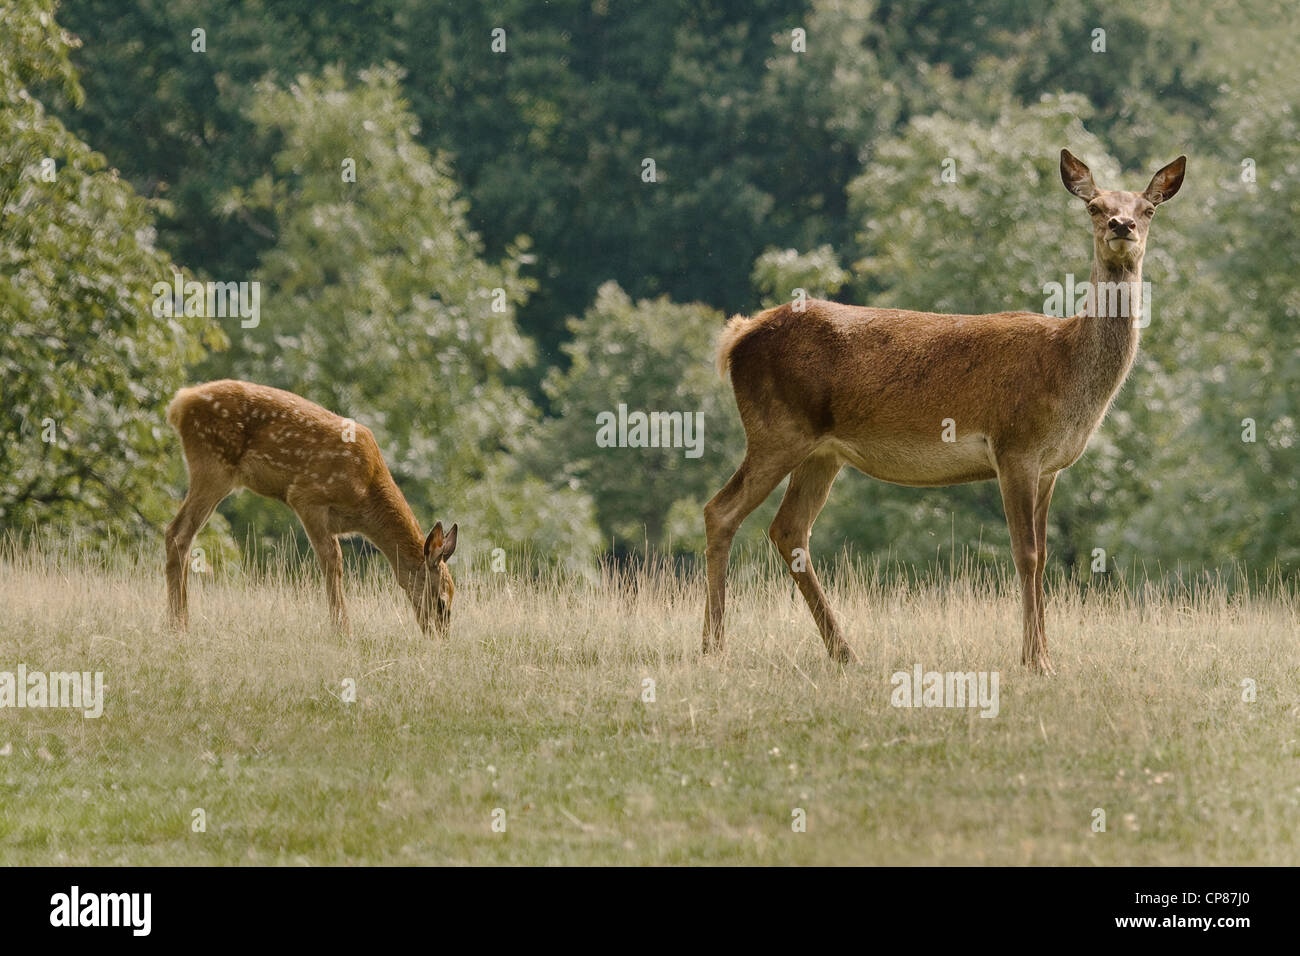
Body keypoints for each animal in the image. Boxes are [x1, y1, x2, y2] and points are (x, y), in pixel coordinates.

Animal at [164, 380, 458, 635]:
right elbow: (333, 562)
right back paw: (179, 625)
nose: (439, 637)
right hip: (212, 465)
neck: (366, 500)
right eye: (442, 601)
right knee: (177, 532)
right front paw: (343, 631)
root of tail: (180, 402)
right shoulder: (307, 497)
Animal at [705, 149, 1185, 674]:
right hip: (776, 429)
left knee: (788, 528)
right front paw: (1035, 660)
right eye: (1094, 207)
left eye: (1148, 209)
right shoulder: (1014, 446)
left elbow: (1042, 555)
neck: (1069, 372)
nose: (1122, 225)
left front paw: (1040, 654)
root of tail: (736, 338)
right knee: (721, 510)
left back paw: (844, 650)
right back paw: (714, 645)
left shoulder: (1050, 466)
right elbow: (1026, 553)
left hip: (821, 452)